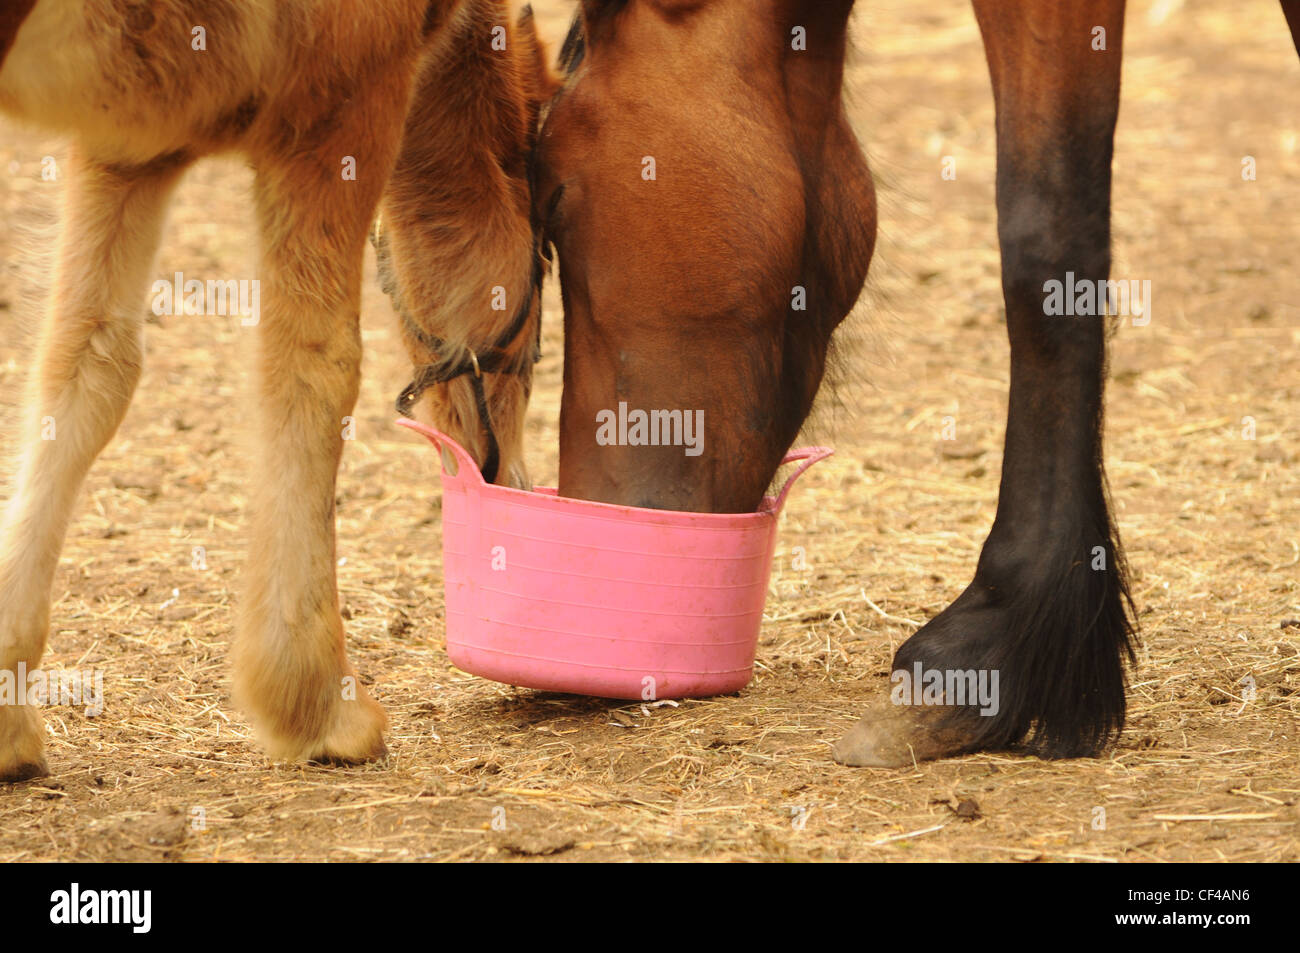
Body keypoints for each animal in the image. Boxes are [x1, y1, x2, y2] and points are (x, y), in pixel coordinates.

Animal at [0, 0, 557, 781]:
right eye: (545, 257)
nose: (510, 471)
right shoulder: (339, 110)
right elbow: (317, 367)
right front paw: (317, 703)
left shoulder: (127, 147)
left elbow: (86, 368)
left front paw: (9, 718)